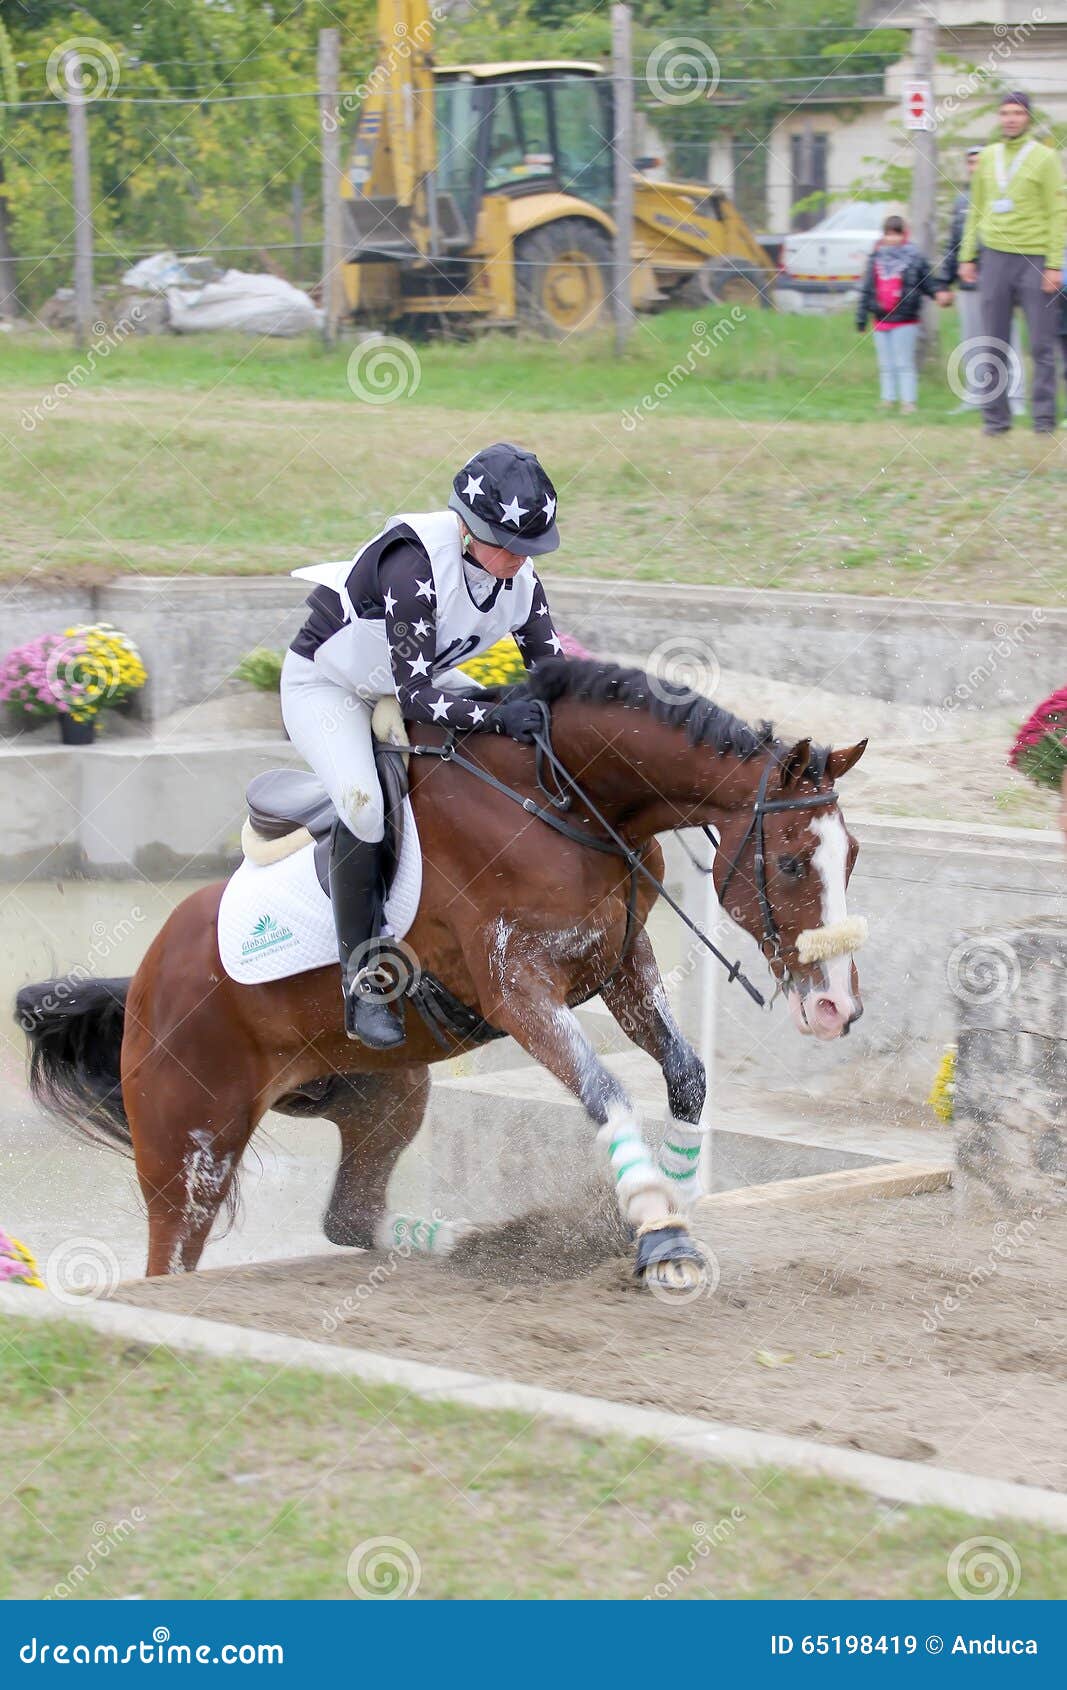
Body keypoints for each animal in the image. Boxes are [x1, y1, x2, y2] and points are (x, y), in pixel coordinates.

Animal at [15, 658, 867, 1294]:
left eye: (851, 856)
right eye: (792, 861)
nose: (835, 1008)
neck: (565, 804)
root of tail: (145, 975)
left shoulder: (621, 964)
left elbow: (685, 1072)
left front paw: (678, 1198)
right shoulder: (518, 988)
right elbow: (605, 1090)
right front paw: (660, 1235)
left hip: (385, 1096)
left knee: (348, 1218)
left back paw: (478, 1239)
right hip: (190, 1147)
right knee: (170, 1258)